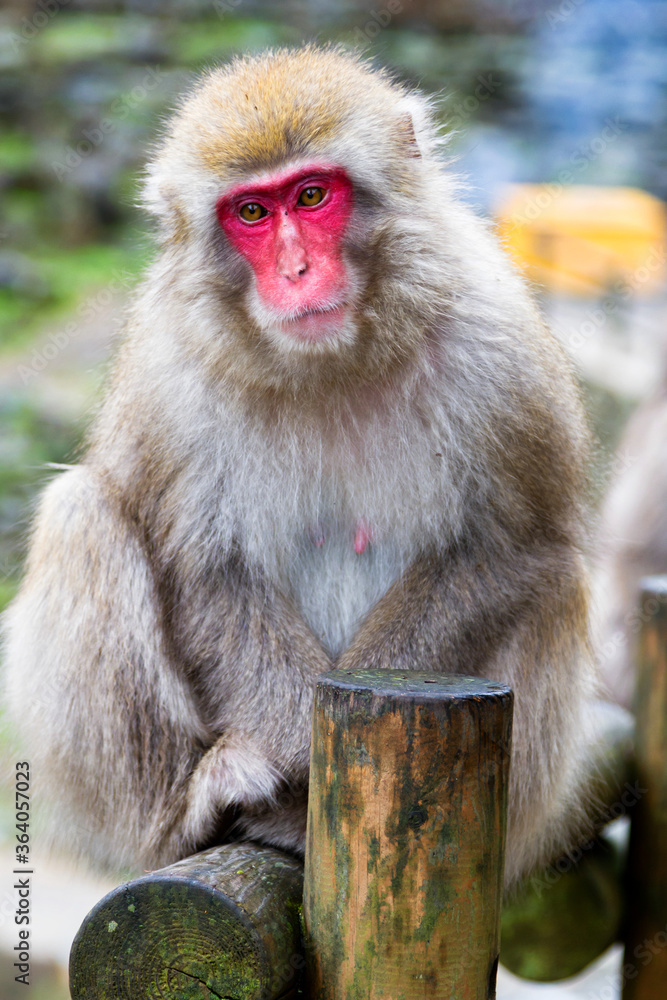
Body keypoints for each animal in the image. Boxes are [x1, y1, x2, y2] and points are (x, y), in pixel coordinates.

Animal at [2, 45, 596, 887]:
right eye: (251, 212)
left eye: (312, 195)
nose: (294, 270)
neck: (331, 362)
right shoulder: (168, 367)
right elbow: (203, 570)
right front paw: (299, 757)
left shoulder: (496, 341)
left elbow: (509, 547)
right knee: (82, 513)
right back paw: (186, 816)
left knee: (556, 583)